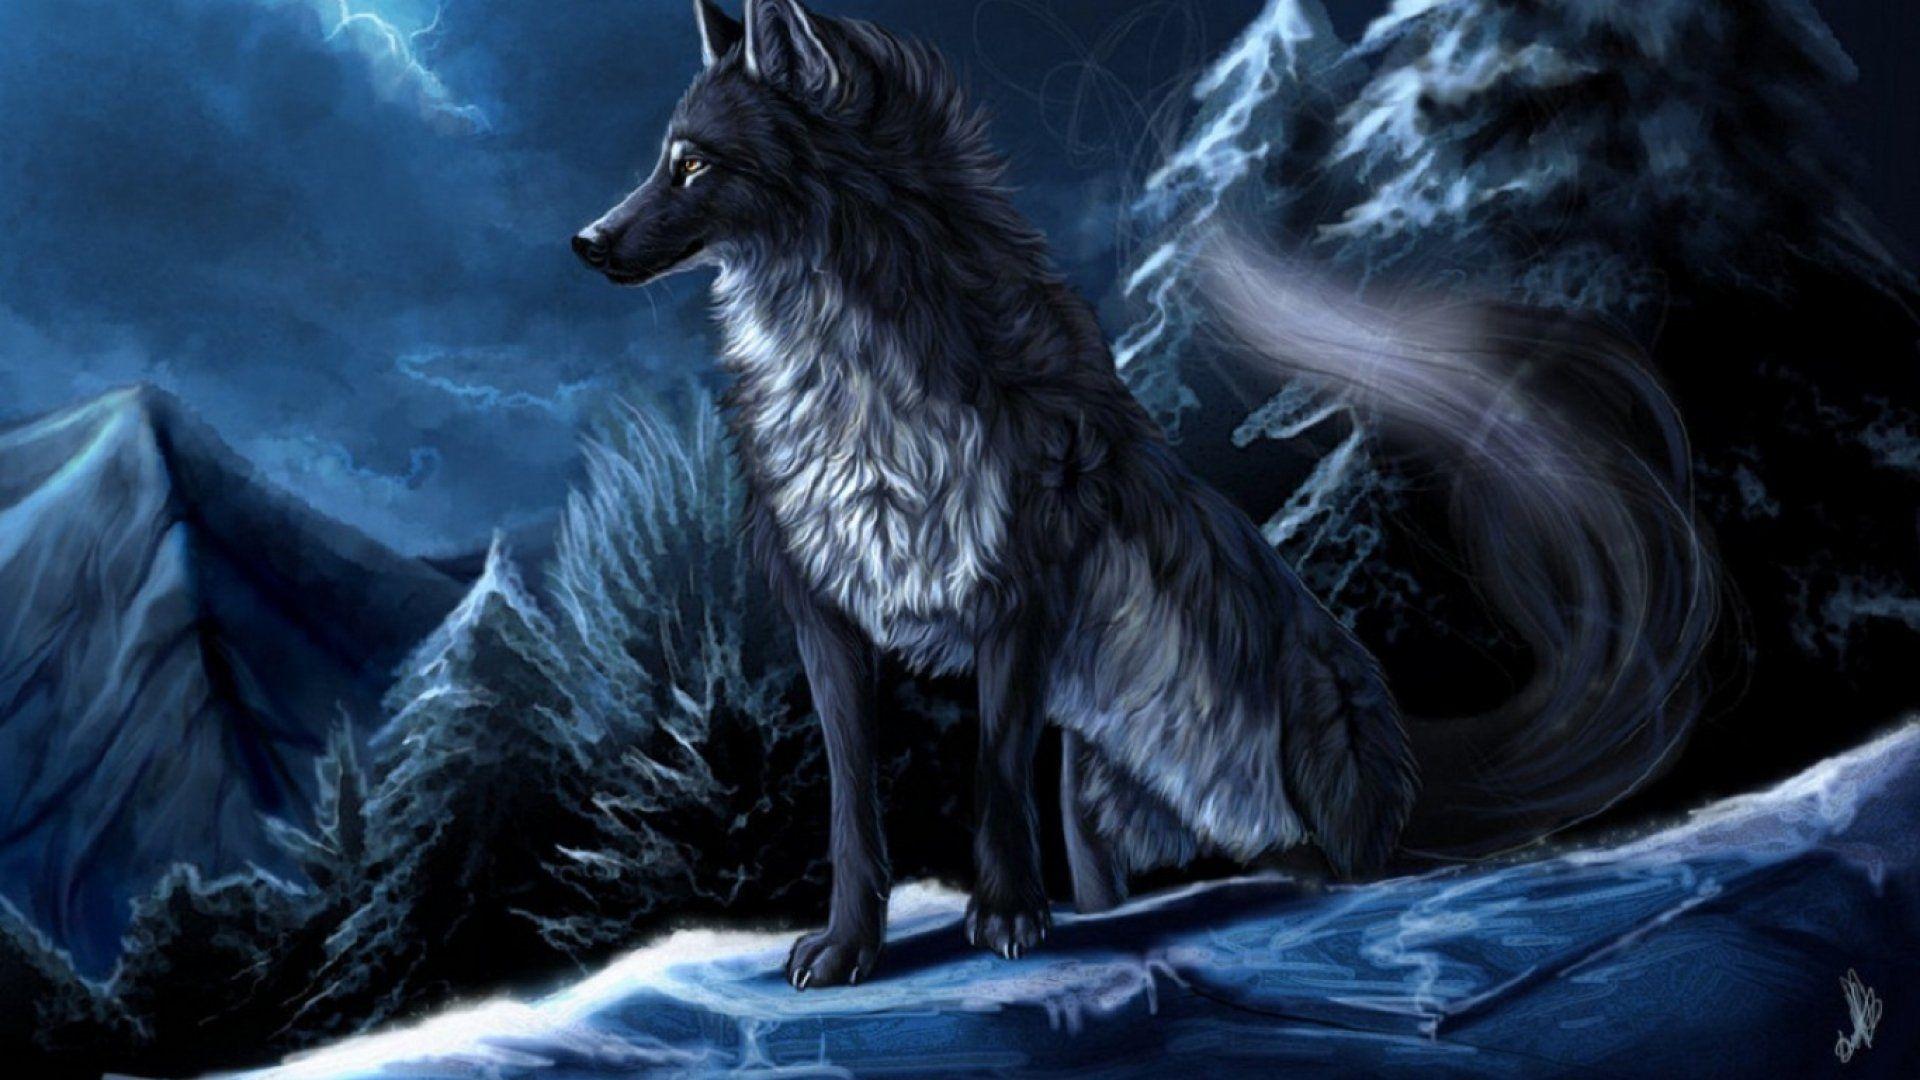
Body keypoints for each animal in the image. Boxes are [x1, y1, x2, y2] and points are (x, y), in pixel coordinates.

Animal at [573, 0, 1713, 989]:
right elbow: (854, 814)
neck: (853, 377)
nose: (586, 242)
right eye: (663, 157)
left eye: (691, 162)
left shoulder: (1016, 601)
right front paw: (849, 948)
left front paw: (1006, 918)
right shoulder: (829, 617)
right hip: (1093, 809)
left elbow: (990, 783)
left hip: (1315, 741)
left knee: (1352, 864)